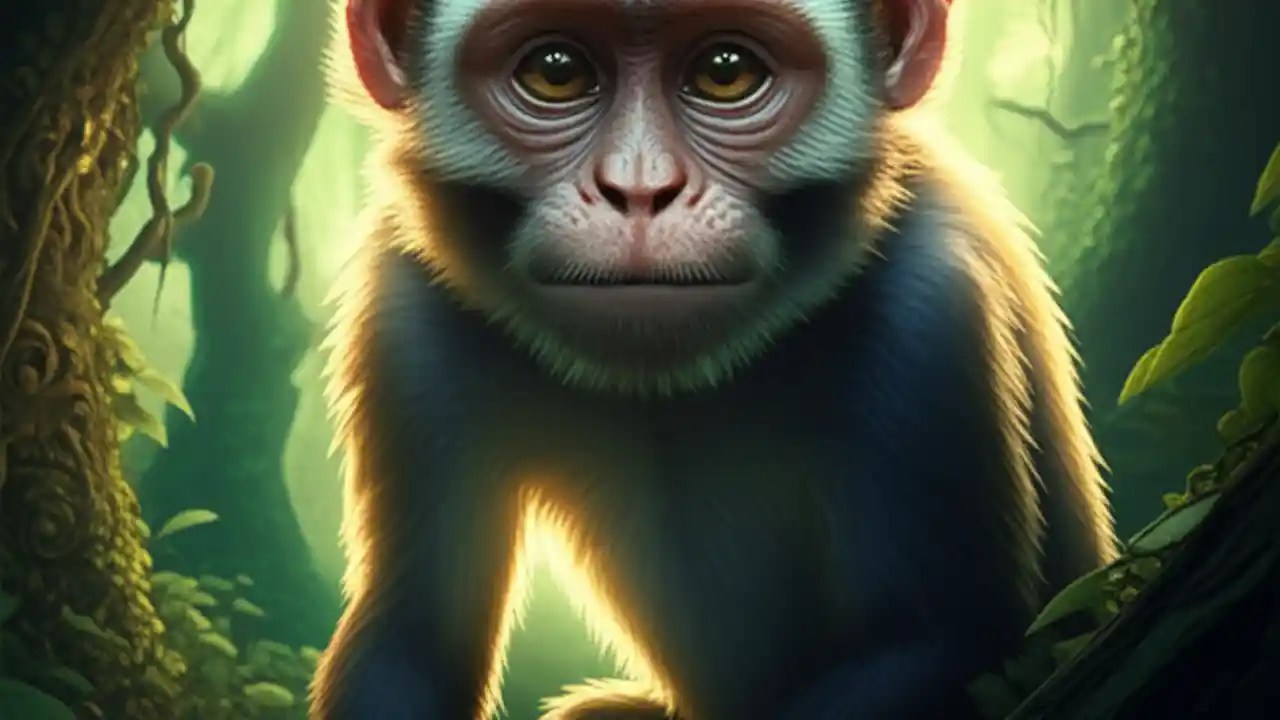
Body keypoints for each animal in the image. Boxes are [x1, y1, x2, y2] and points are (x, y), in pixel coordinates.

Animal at [311, 0, 1118, 718]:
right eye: (556, 71)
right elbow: (412, 645)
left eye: (726, 72)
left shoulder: (931, 296)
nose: (640, 189)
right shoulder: (403, 302)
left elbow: (937, 640)